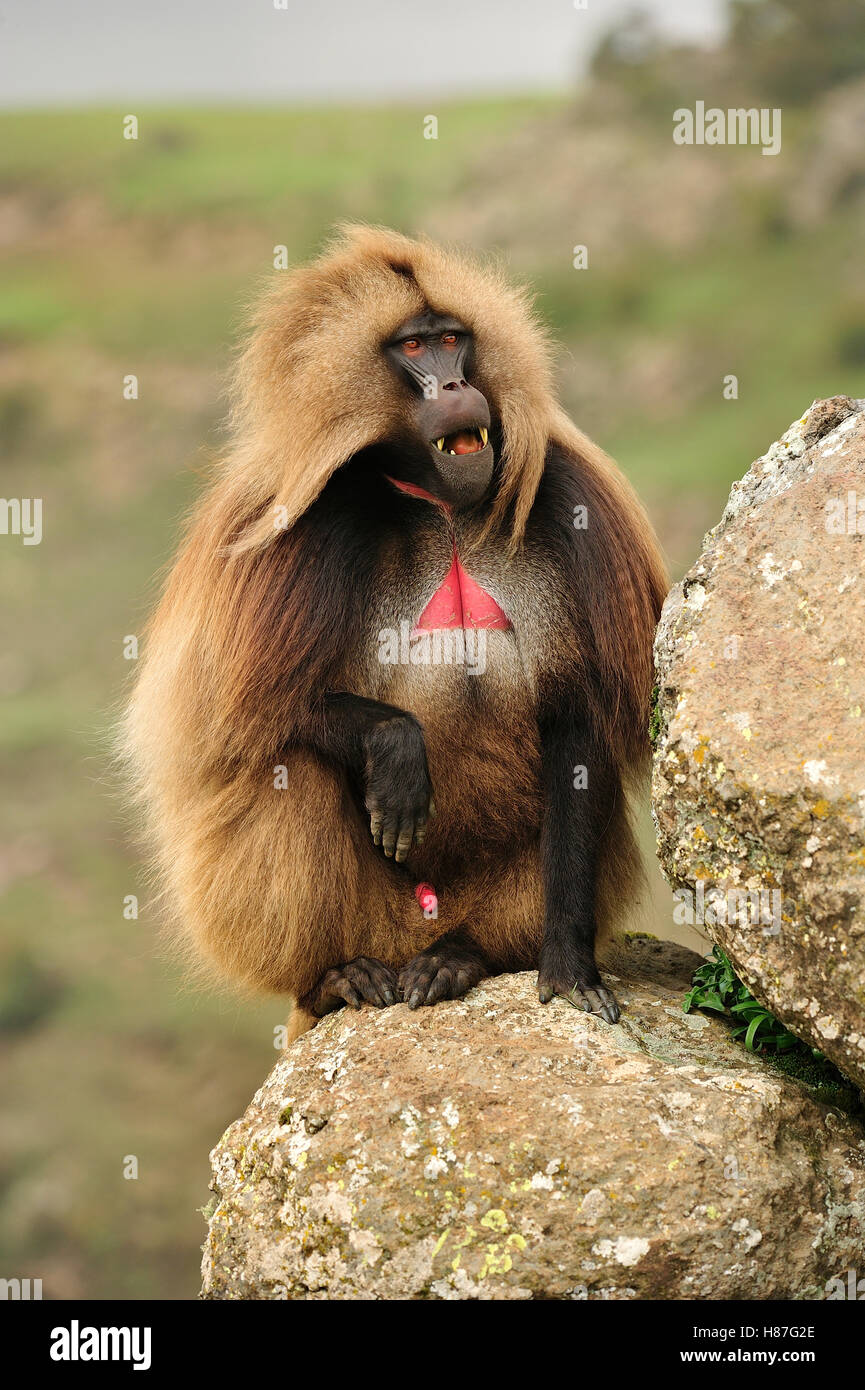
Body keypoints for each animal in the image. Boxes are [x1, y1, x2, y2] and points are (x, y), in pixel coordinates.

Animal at [123, 225, 667, 1044]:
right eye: (413, 348)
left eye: (452, 340)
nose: (454, 386)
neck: (442, 509)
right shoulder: (292, 528)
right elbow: (239, 721)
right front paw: (397, 749)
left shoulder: (573, 497)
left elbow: (579, 727)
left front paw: (569, 966)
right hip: (374, 920)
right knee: (289, 767)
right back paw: (335, 977)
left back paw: (462, 958)